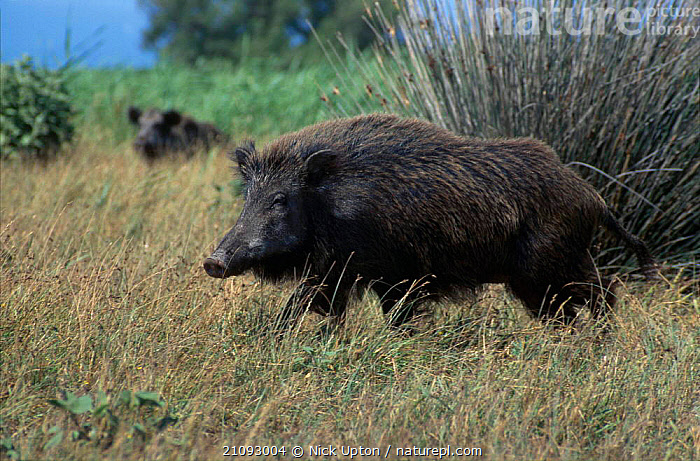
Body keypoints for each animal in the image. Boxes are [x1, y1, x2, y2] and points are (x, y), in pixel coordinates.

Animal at [203, 114, 658, 331]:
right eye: (248, 197)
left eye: (280, 199)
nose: (213, 261)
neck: (330, 205)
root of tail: (593, 198)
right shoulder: (336, 272)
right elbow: (304, 308)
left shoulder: (395, 274)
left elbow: (396, 318)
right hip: (537, 280)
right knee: (571, 310)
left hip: (552, 264)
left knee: (605, 292)